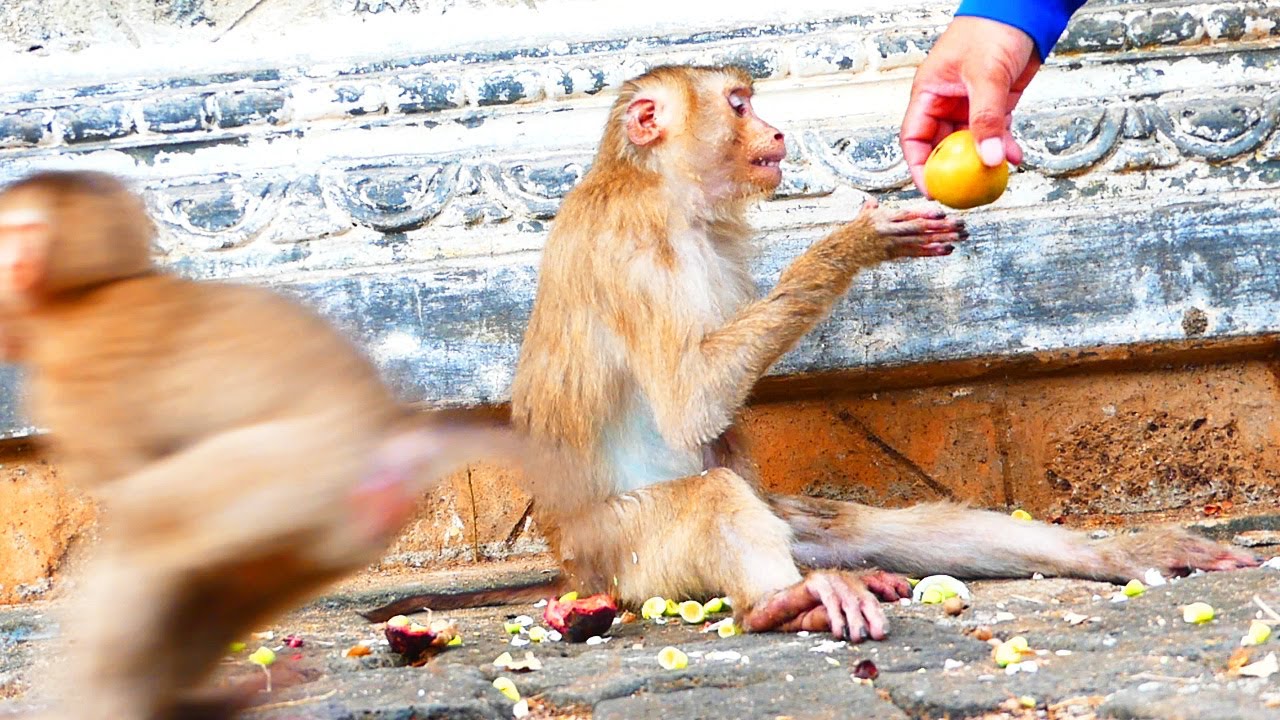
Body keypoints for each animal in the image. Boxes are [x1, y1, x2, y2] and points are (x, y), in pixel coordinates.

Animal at [0, 170, 537, 720]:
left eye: (17, 232)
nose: (10, 268)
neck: (85, 293)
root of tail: (383, 447)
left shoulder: (78, 375)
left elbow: (128, 489)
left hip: (290, 473)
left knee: (153, 526)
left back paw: (122, 697)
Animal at [362, 64, 1258, 641]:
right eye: (737, 103)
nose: (779, 128)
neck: (665, 192)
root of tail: (575, 572)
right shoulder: (636, 247)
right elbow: (691, 405)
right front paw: (854, 243)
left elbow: (721, 425)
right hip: (630, 558)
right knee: (712, 498)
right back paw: (778, 604)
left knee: (831, 521)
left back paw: (1114, 554)